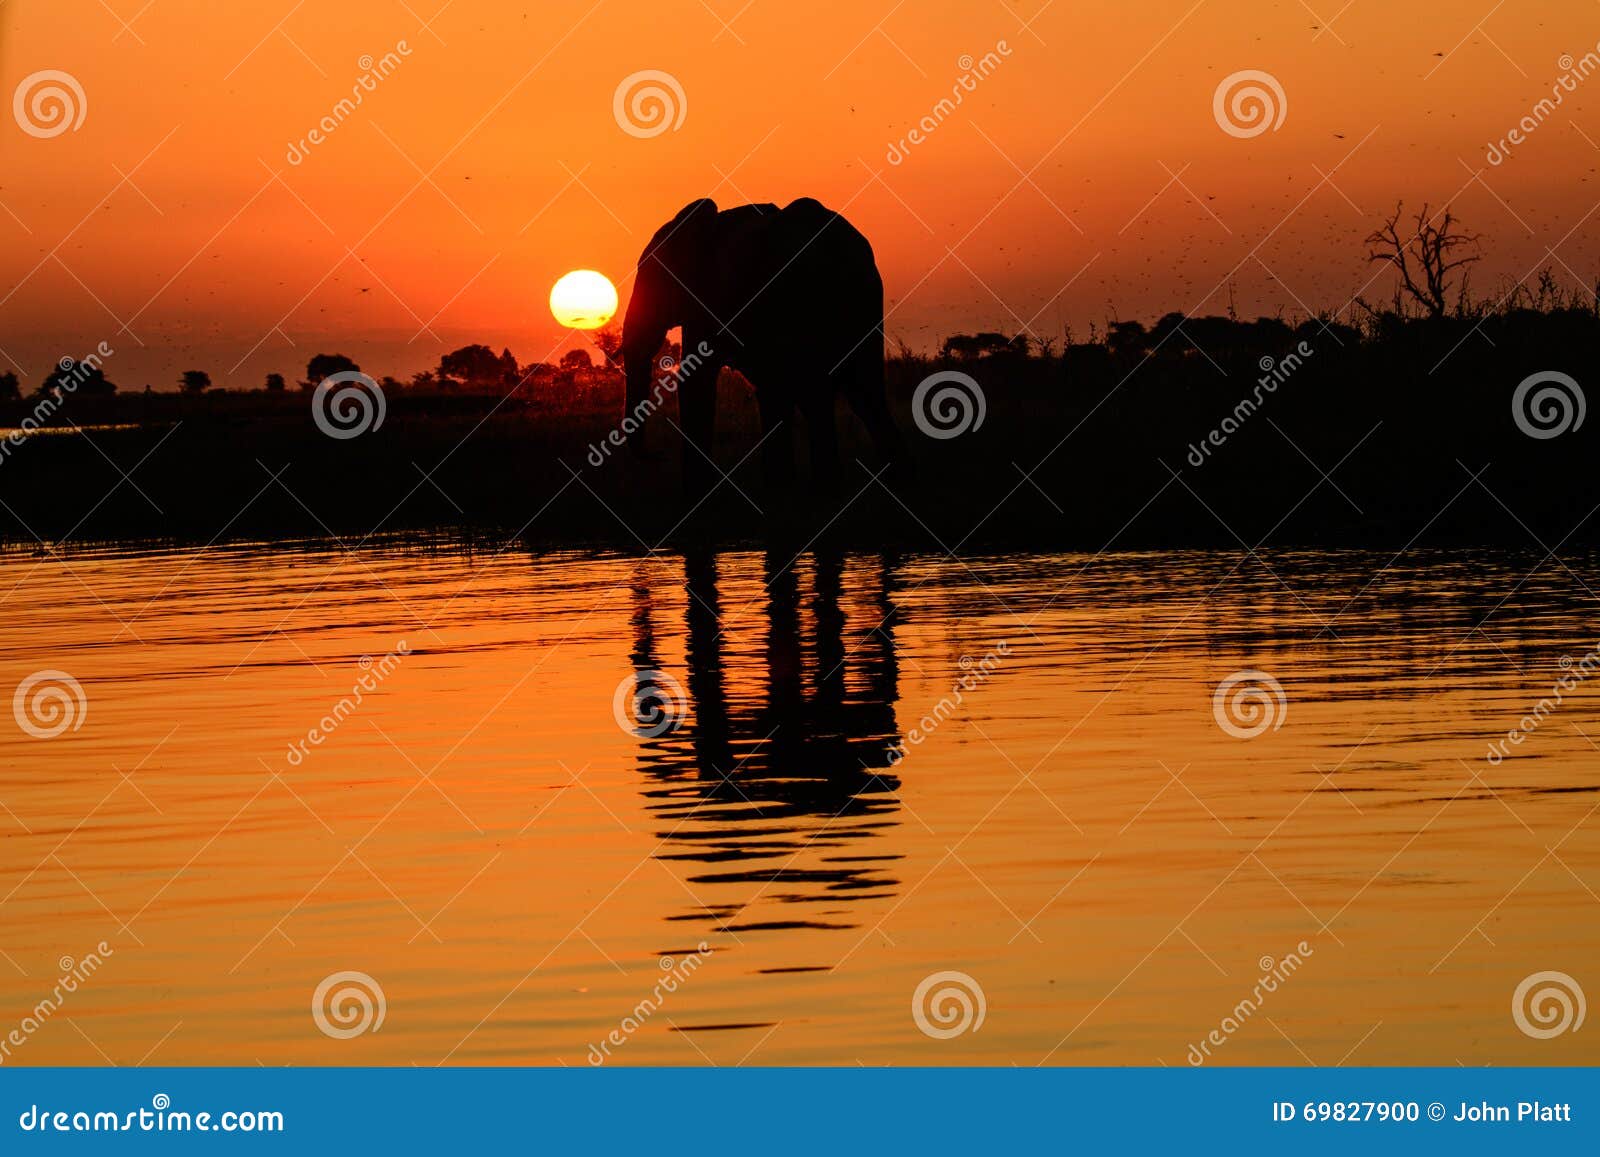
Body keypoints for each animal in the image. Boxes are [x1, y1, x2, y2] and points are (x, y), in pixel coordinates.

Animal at [619, 197, 901, 500]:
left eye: (651, 280)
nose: (658, 455)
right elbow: (768, 390)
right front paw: (780, 489)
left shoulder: (708, 301)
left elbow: (698, 381)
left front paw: (697, 498)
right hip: (861, 305)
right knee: (863, 393)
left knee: (815, 393)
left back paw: (824, 492)